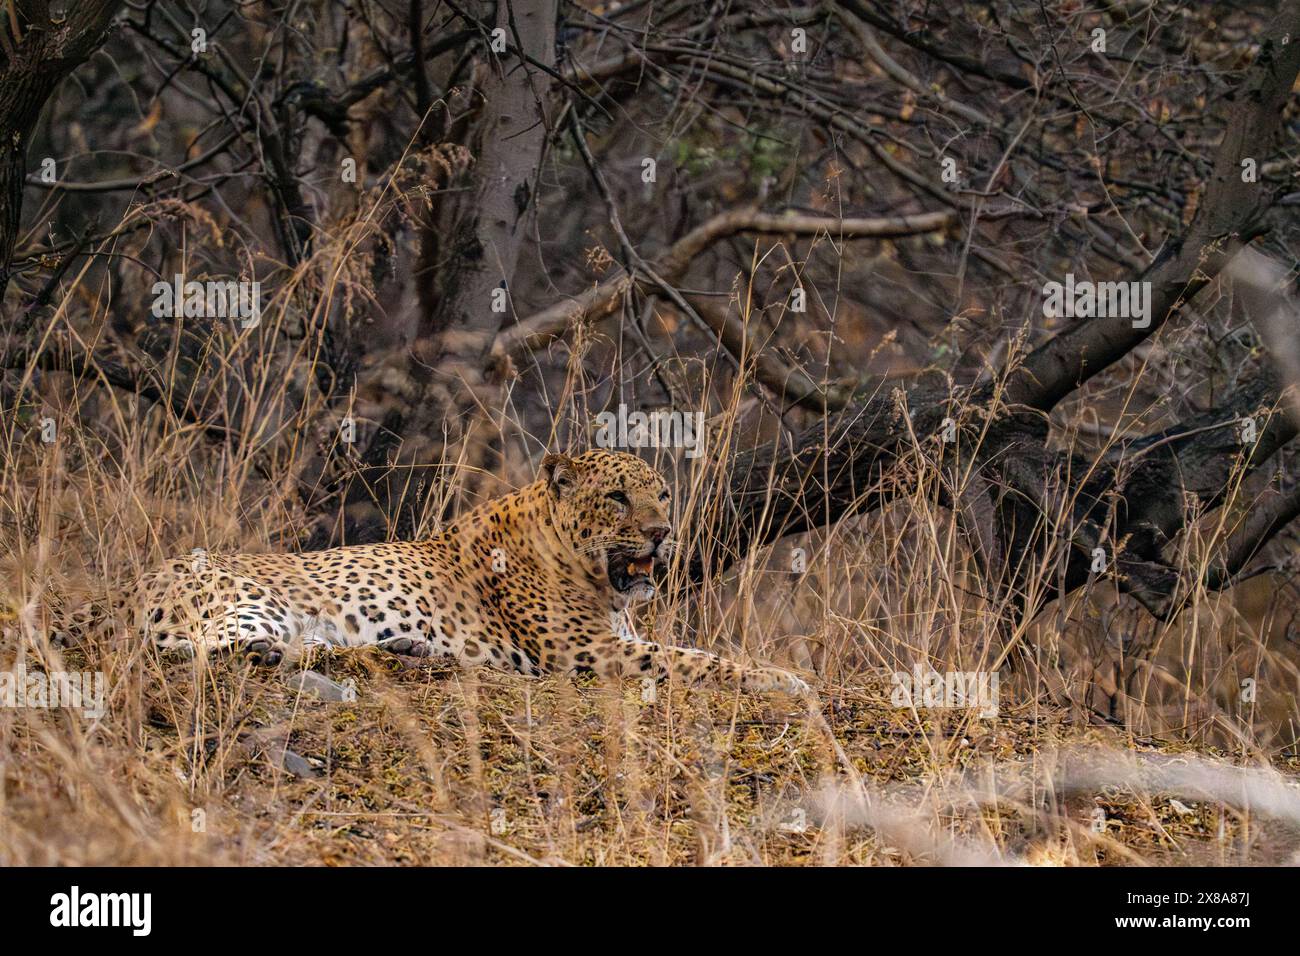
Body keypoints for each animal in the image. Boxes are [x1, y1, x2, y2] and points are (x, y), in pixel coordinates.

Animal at [68, 450, 809, 694]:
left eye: (662, 492)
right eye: (619, 497)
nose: (662, 534)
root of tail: (130, 589)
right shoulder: (584, 651)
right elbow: (695, 658)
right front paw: (783, 679)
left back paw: (412, 647)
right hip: (252, 601)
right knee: (218, 648)